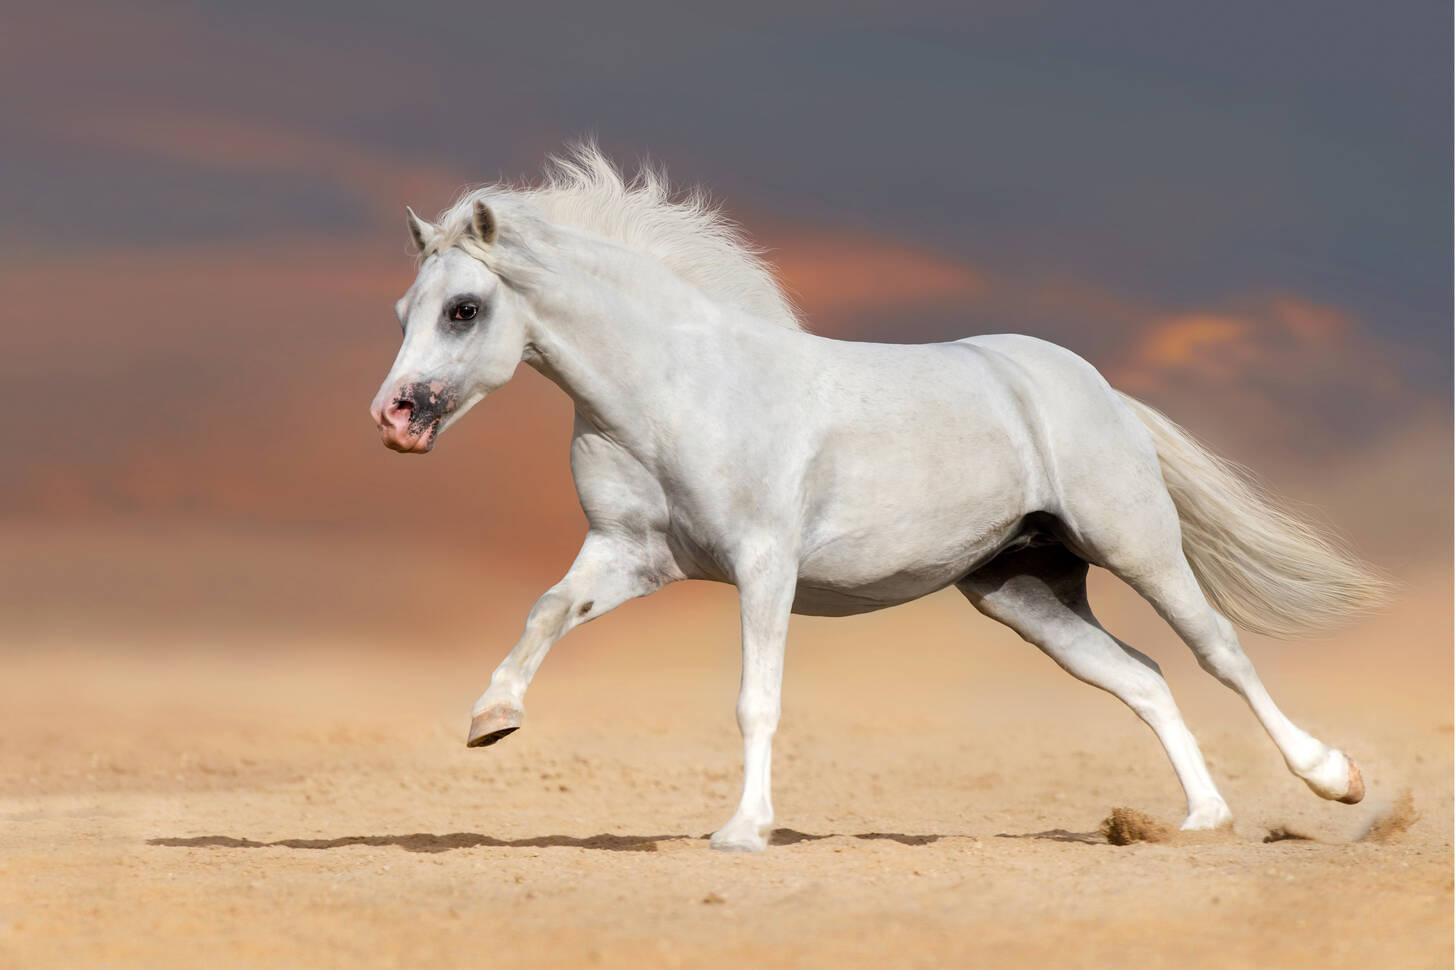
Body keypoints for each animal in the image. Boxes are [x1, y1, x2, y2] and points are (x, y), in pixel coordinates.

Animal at [369, 145, 1387, 851]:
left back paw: (1333, 780)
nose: (394, 418)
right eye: (403, 313)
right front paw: (491, 722)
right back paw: (1201, 819)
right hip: (1022, 589)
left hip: (1136, 547)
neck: (678, 391)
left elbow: (756, 698)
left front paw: (742, 832)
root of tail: (1091, 387)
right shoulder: (629, 556)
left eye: (463, 309)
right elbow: (545, 611)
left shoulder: (763, 565)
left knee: (1219, 654)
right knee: (1141, 676)